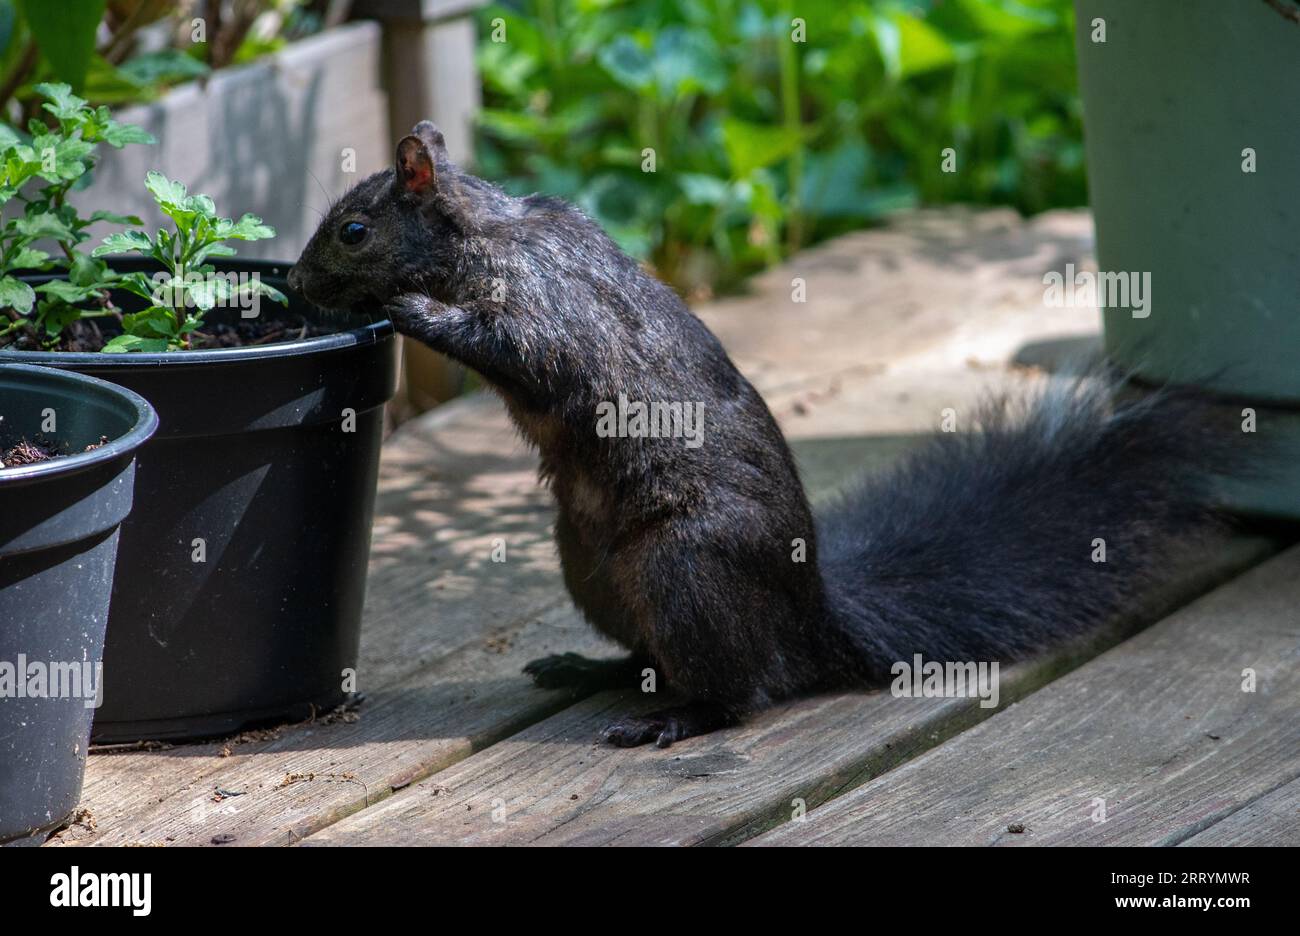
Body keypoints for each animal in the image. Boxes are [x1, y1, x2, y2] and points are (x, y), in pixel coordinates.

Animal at [289, 122, 1246, 748]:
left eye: (354, 231)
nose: (295, 283)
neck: (487, 231)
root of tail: (812, 615)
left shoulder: (545, 307)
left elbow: (518, 351)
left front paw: (411, 310)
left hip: (684, 568)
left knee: (743, 691)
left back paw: (673, 719)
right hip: (590, 563)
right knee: (662, 654)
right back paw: (599, 672)